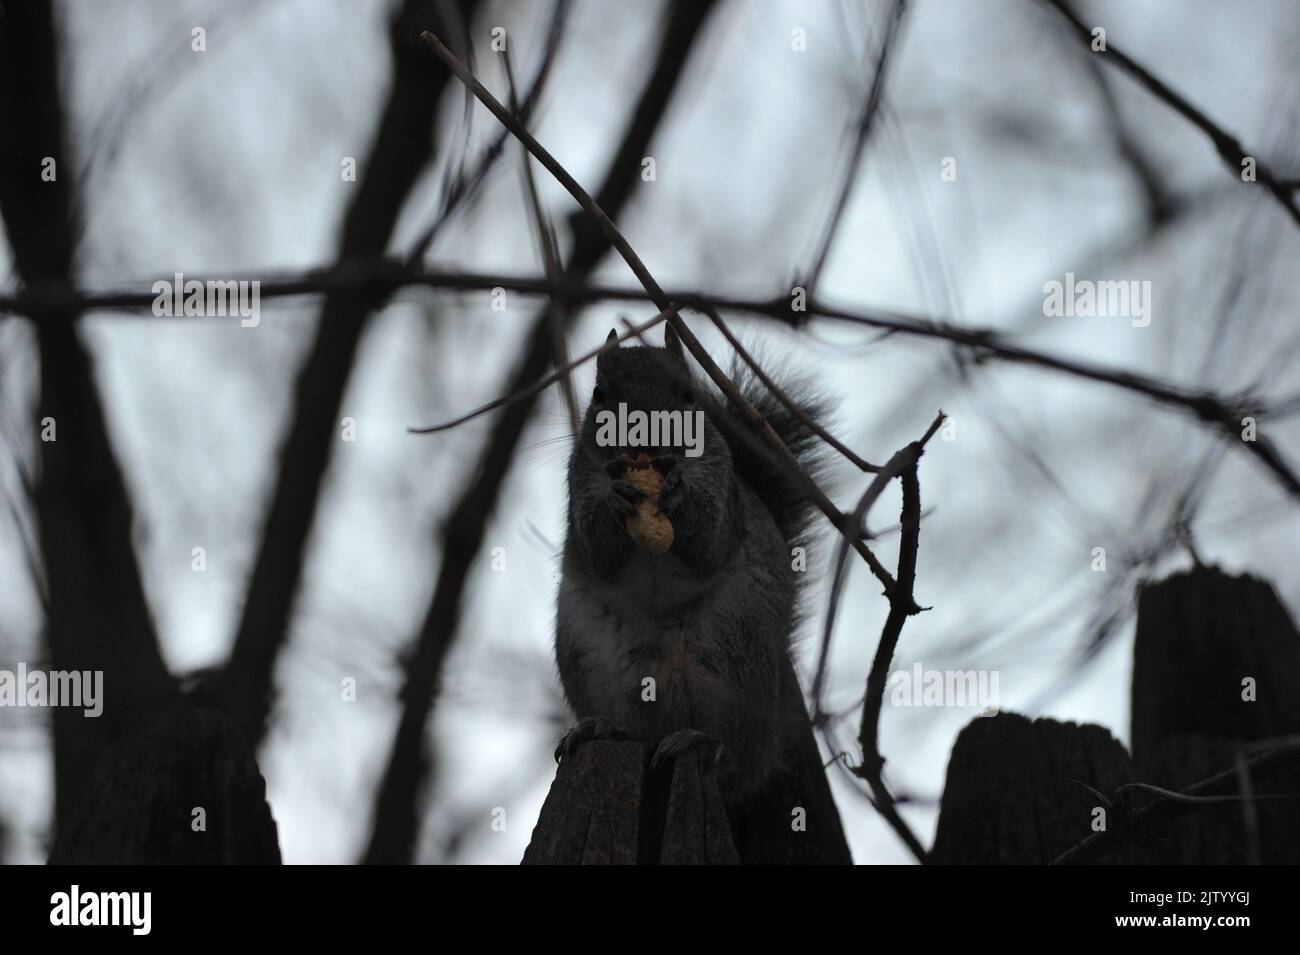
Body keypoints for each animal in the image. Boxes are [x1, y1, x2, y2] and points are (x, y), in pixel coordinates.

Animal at [554, 322, 842, 835]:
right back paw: (600, 727)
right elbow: (597, 549)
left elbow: (707, 544)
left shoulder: (722, 489)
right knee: (627, 727)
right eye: (600, 394)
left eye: (687, 395)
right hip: (584, 657)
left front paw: (678, 493)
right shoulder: (579, 484)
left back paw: (701, 742)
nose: (646, 443)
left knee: (736, 758)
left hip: (733, 656)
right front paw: (615, 498)